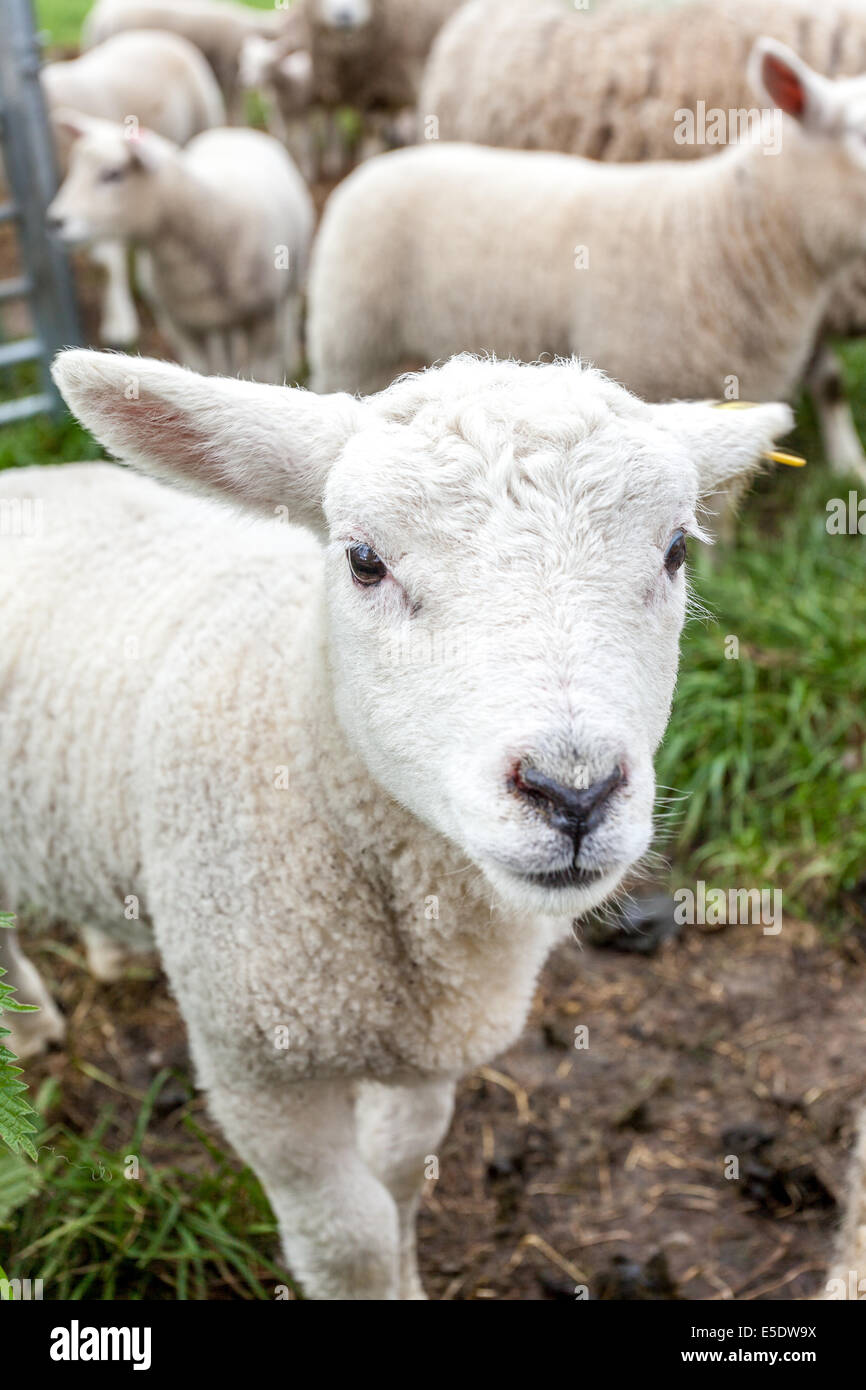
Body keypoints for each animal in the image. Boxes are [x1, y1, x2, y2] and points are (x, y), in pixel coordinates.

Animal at [0, 346, 792, 1298]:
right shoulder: (256, 1071)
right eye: (364, 560)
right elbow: (350, 1239)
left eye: (674, 551)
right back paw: (30, 1025)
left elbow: (401, 1173)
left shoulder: (431, 1046)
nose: (572, 794)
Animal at [41, 29, 226, 348]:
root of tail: (154, 34)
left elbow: (108, 261)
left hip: (204, 120)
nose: (56, 222)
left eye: (110, 174)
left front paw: (119, 322)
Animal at [47, 119, 314, 383]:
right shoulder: (182, 326)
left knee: (290, 314)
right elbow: (201, 368)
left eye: (113, 174)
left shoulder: (263, 319)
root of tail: (233, 130)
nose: (55, 221)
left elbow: (261, 372)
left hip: (293, 276)